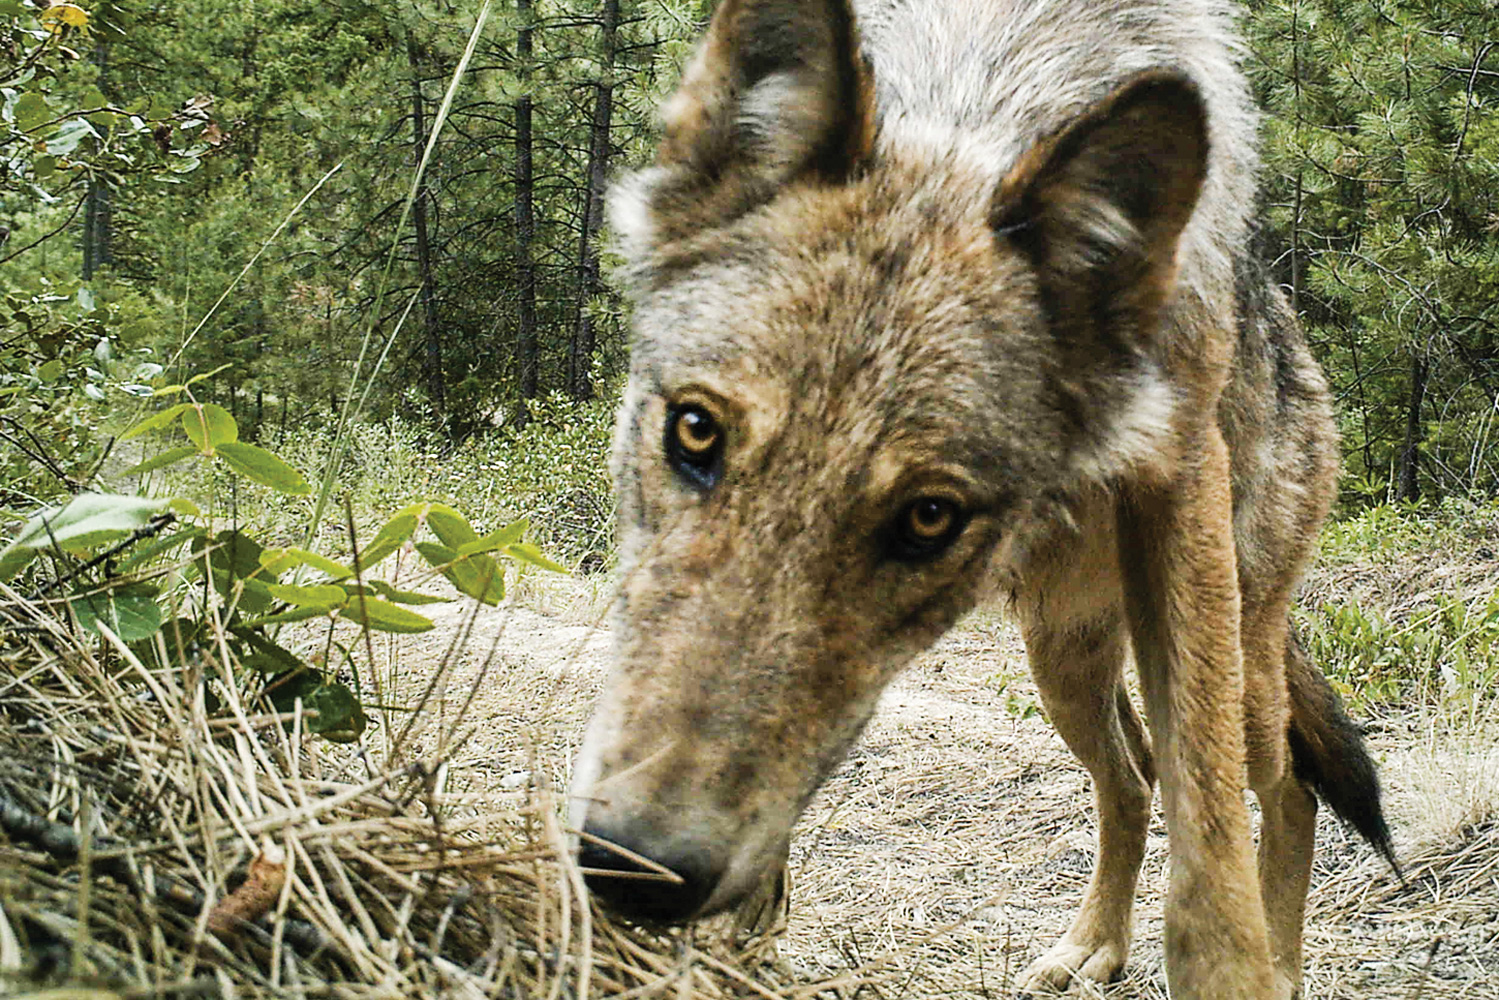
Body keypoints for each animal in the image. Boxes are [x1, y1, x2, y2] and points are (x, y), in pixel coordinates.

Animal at [569, 0, 1394, 996]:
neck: (983, 77)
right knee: (1131, 777)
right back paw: (1092, 947)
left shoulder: (1179, 473)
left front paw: (1235, 967)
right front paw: (741, 943)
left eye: (929, 517)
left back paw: (1278, 964)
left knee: (1282, 787)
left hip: (1245, 664)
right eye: (694, 434)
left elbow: (1209, 860)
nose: (636, 867)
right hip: (1062, 662)